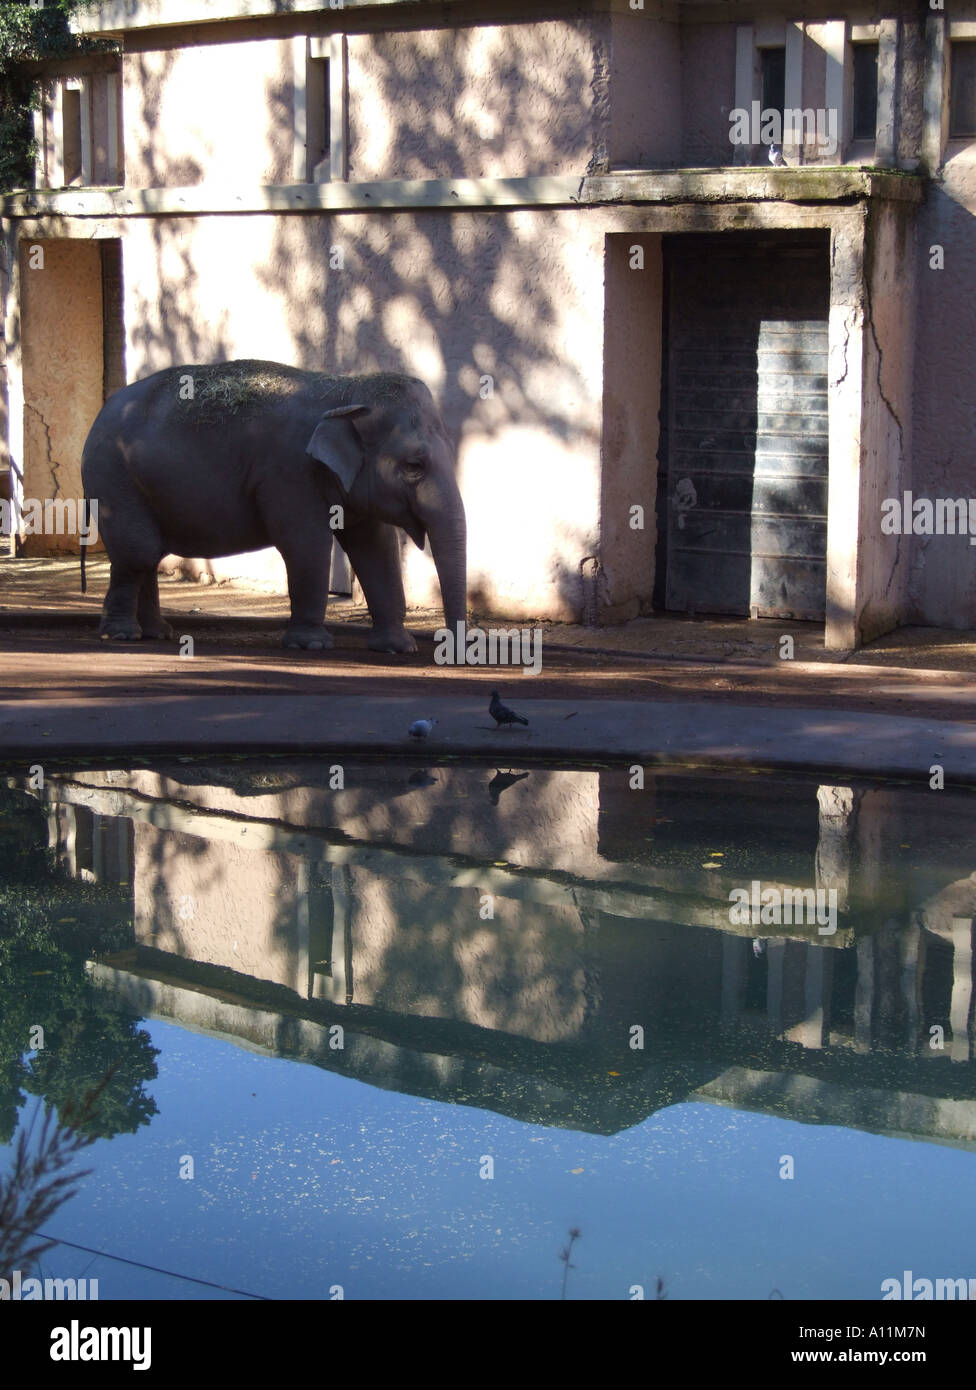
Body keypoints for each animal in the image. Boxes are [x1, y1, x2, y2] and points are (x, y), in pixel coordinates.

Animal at [80, 360, 467, 653]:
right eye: (414, 466)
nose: (452, 649)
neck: (344, 391)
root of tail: (100, 413)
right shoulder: (289, 472)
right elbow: (306, 544)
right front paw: (311, 645)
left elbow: (376, 548)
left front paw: (398, 648)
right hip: (113, 479)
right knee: (139, 552)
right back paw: (121, 634)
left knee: (146, 554)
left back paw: (157, 633)